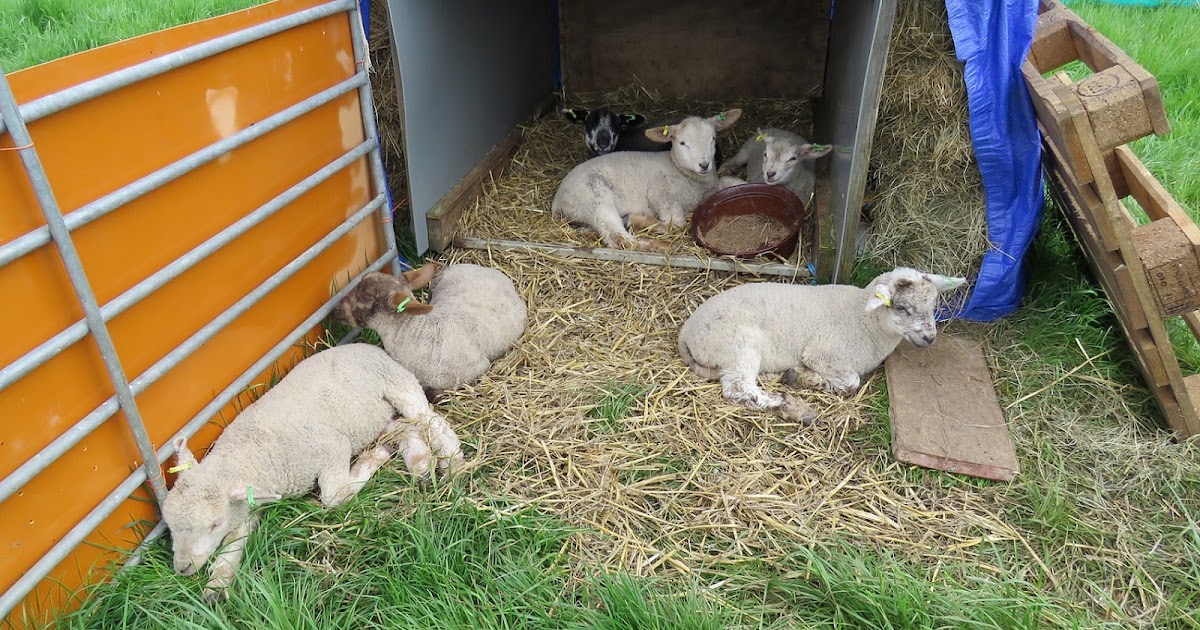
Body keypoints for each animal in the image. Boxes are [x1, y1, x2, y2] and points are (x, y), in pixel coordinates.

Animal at [161, 342, 463, 603]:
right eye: (171, 526)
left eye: (214, 524)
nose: (182, 568)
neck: (253, 450)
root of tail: (367, 345)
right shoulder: (250, 500)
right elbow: (236, 538)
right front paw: (218, 583)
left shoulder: (331, 446)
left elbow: (335, 497)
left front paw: (369, 461)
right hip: (376, 415)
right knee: (405, 428)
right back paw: (419, 462)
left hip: (398, 383)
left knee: (430, 420)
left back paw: (453, 462)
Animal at [552, 109, 744, 252]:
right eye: (682, 143)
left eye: (713, 139)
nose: (704, 165)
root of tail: (557, 202)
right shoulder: (661, 195)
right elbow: (677, 225)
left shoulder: (710, 188)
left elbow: (731, 182)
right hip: (594, 199)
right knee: (619, 238)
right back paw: (660, 243)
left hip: (587, 213)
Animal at [677, 268, 966, 423]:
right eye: (902, 308)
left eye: (933, 305)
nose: (930, 338)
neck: (862, 319)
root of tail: (687, 333)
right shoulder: (822, 354)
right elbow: (851, 383)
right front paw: (815, 382)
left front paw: (799, 376)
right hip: (738, 345)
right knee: (737, 388)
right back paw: (781, 403)